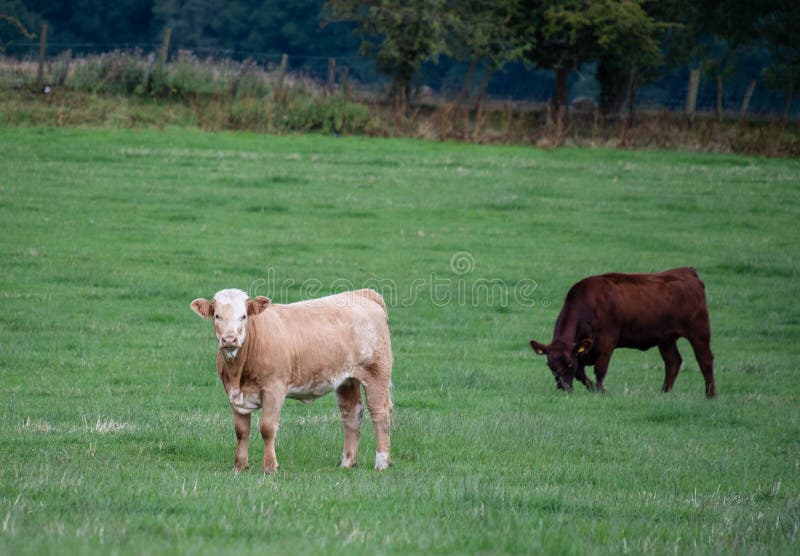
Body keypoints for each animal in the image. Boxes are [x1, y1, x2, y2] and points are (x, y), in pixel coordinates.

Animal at [190, 288, 393, 473]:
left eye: (243, 316)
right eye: (217, 316)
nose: (230, 339)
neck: (238, 374)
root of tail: (362, 294)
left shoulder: (274, 389)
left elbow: (267, 428)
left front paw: (270, 467)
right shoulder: (233, 394)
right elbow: (241, 431)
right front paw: (239, 466)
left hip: (376, 373)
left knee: (380, 413)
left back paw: (382, 463)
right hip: (346, 380)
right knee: (351, 414)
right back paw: (347, 463)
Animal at [529, 267, 715, 397]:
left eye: (568, 364)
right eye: (550, 366)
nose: (563, 388)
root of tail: (688, 271)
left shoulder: (607, 341)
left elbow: (600, 370)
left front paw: (601, 391)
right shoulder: (580, 350)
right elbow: (580, 374)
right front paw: (594, 389)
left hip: (699, 329)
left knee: (705, 359)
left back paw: (710, 394)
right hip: (666, 338)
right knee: (673, 362)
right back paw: (664, 393)